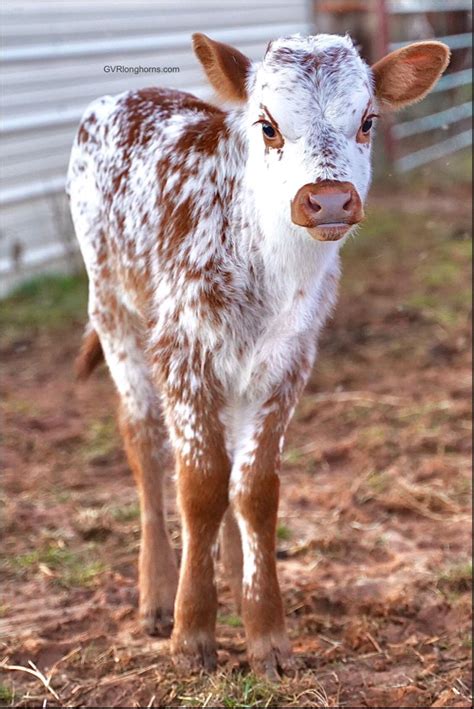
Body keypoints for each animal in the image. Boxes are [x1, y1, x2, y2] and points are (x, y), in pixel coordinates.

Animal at [67, 32, 449, 677]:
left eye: (367, 121)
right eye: (268, 126)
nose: (329, 201)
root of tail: (126, 93)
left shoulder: (289, 361)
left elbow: (255, 489)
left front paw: (266, 634)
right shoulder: (183, 349)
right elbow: (198, 486)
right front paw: (192, 634)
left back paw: (224, 569)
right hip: (113, 307)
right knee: (143, 438)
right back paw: (157, 593)